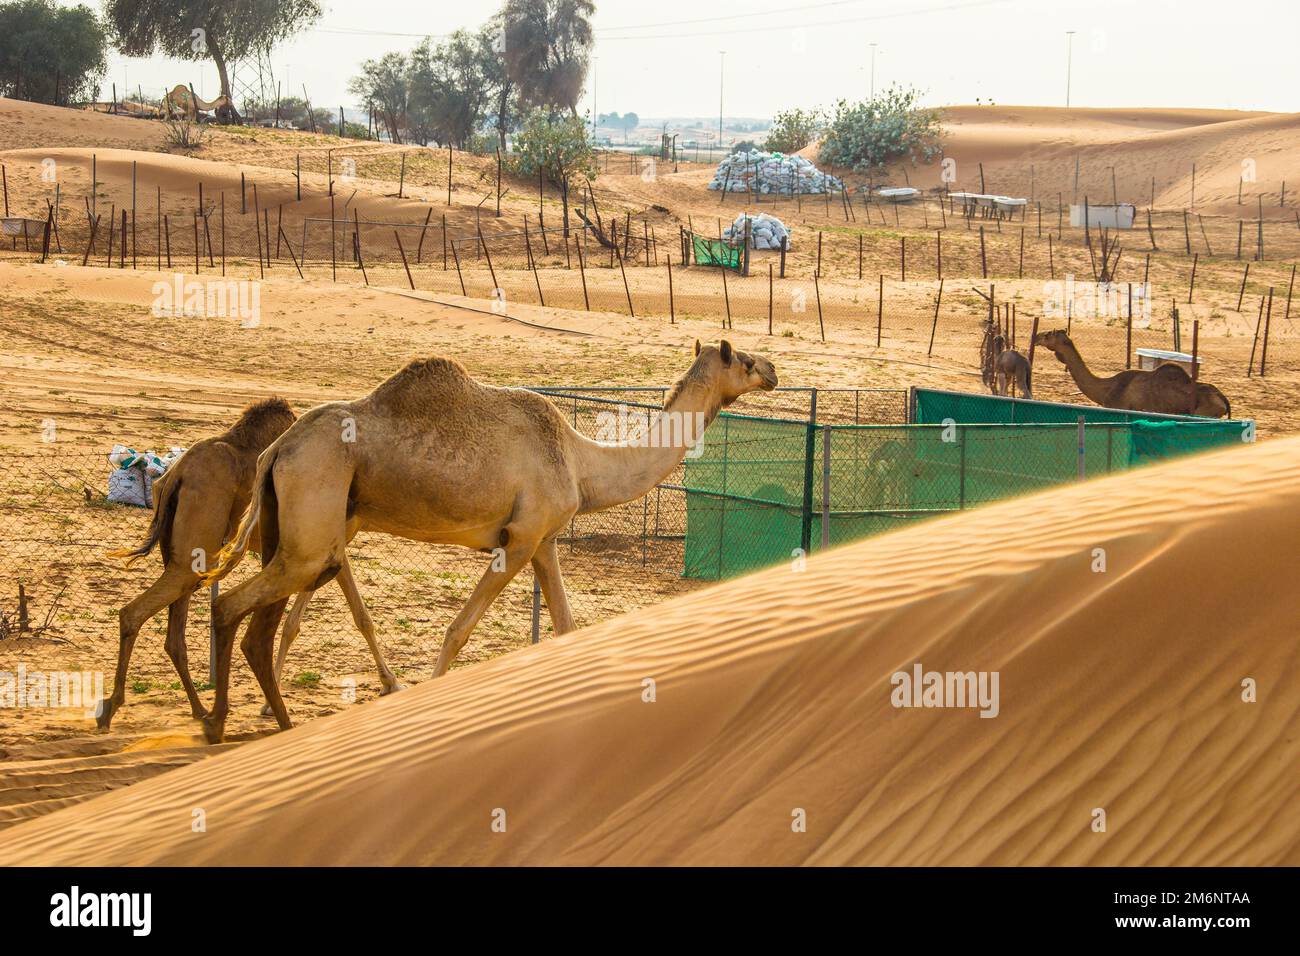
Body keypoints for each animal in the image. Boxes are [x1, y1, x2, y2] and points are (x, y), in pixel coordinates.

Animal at [98, 398, 401, 731]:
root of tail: (174, 475)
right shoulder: (327, 544)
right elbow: (356, 615)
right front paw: (391, 682)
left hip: (183, 552)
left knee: (173, 636)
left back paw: (199, 710)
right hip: (196, 545)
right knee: (134, 613)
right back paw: (112, 708)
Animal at [197, 341, 778, 743]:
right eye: (744, 360)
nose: (773, 369)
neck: (581, 462)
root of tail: (275, 451)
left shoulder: (543, 542)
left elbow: (565, 627)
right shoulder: (517, 540)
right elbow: (458, 629)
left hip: (314, 526)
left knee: (267, 610)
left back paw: (250, 717)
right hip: (315, 517)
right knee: (232, 605)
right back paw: (222, 720)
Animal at [1034, 329, 1231, 418]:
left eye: (1048, 335)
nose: (1036, 336)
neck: (1107, 388)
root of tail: (1222, 398)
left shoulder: (1118, 407)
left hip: (1207, 413)